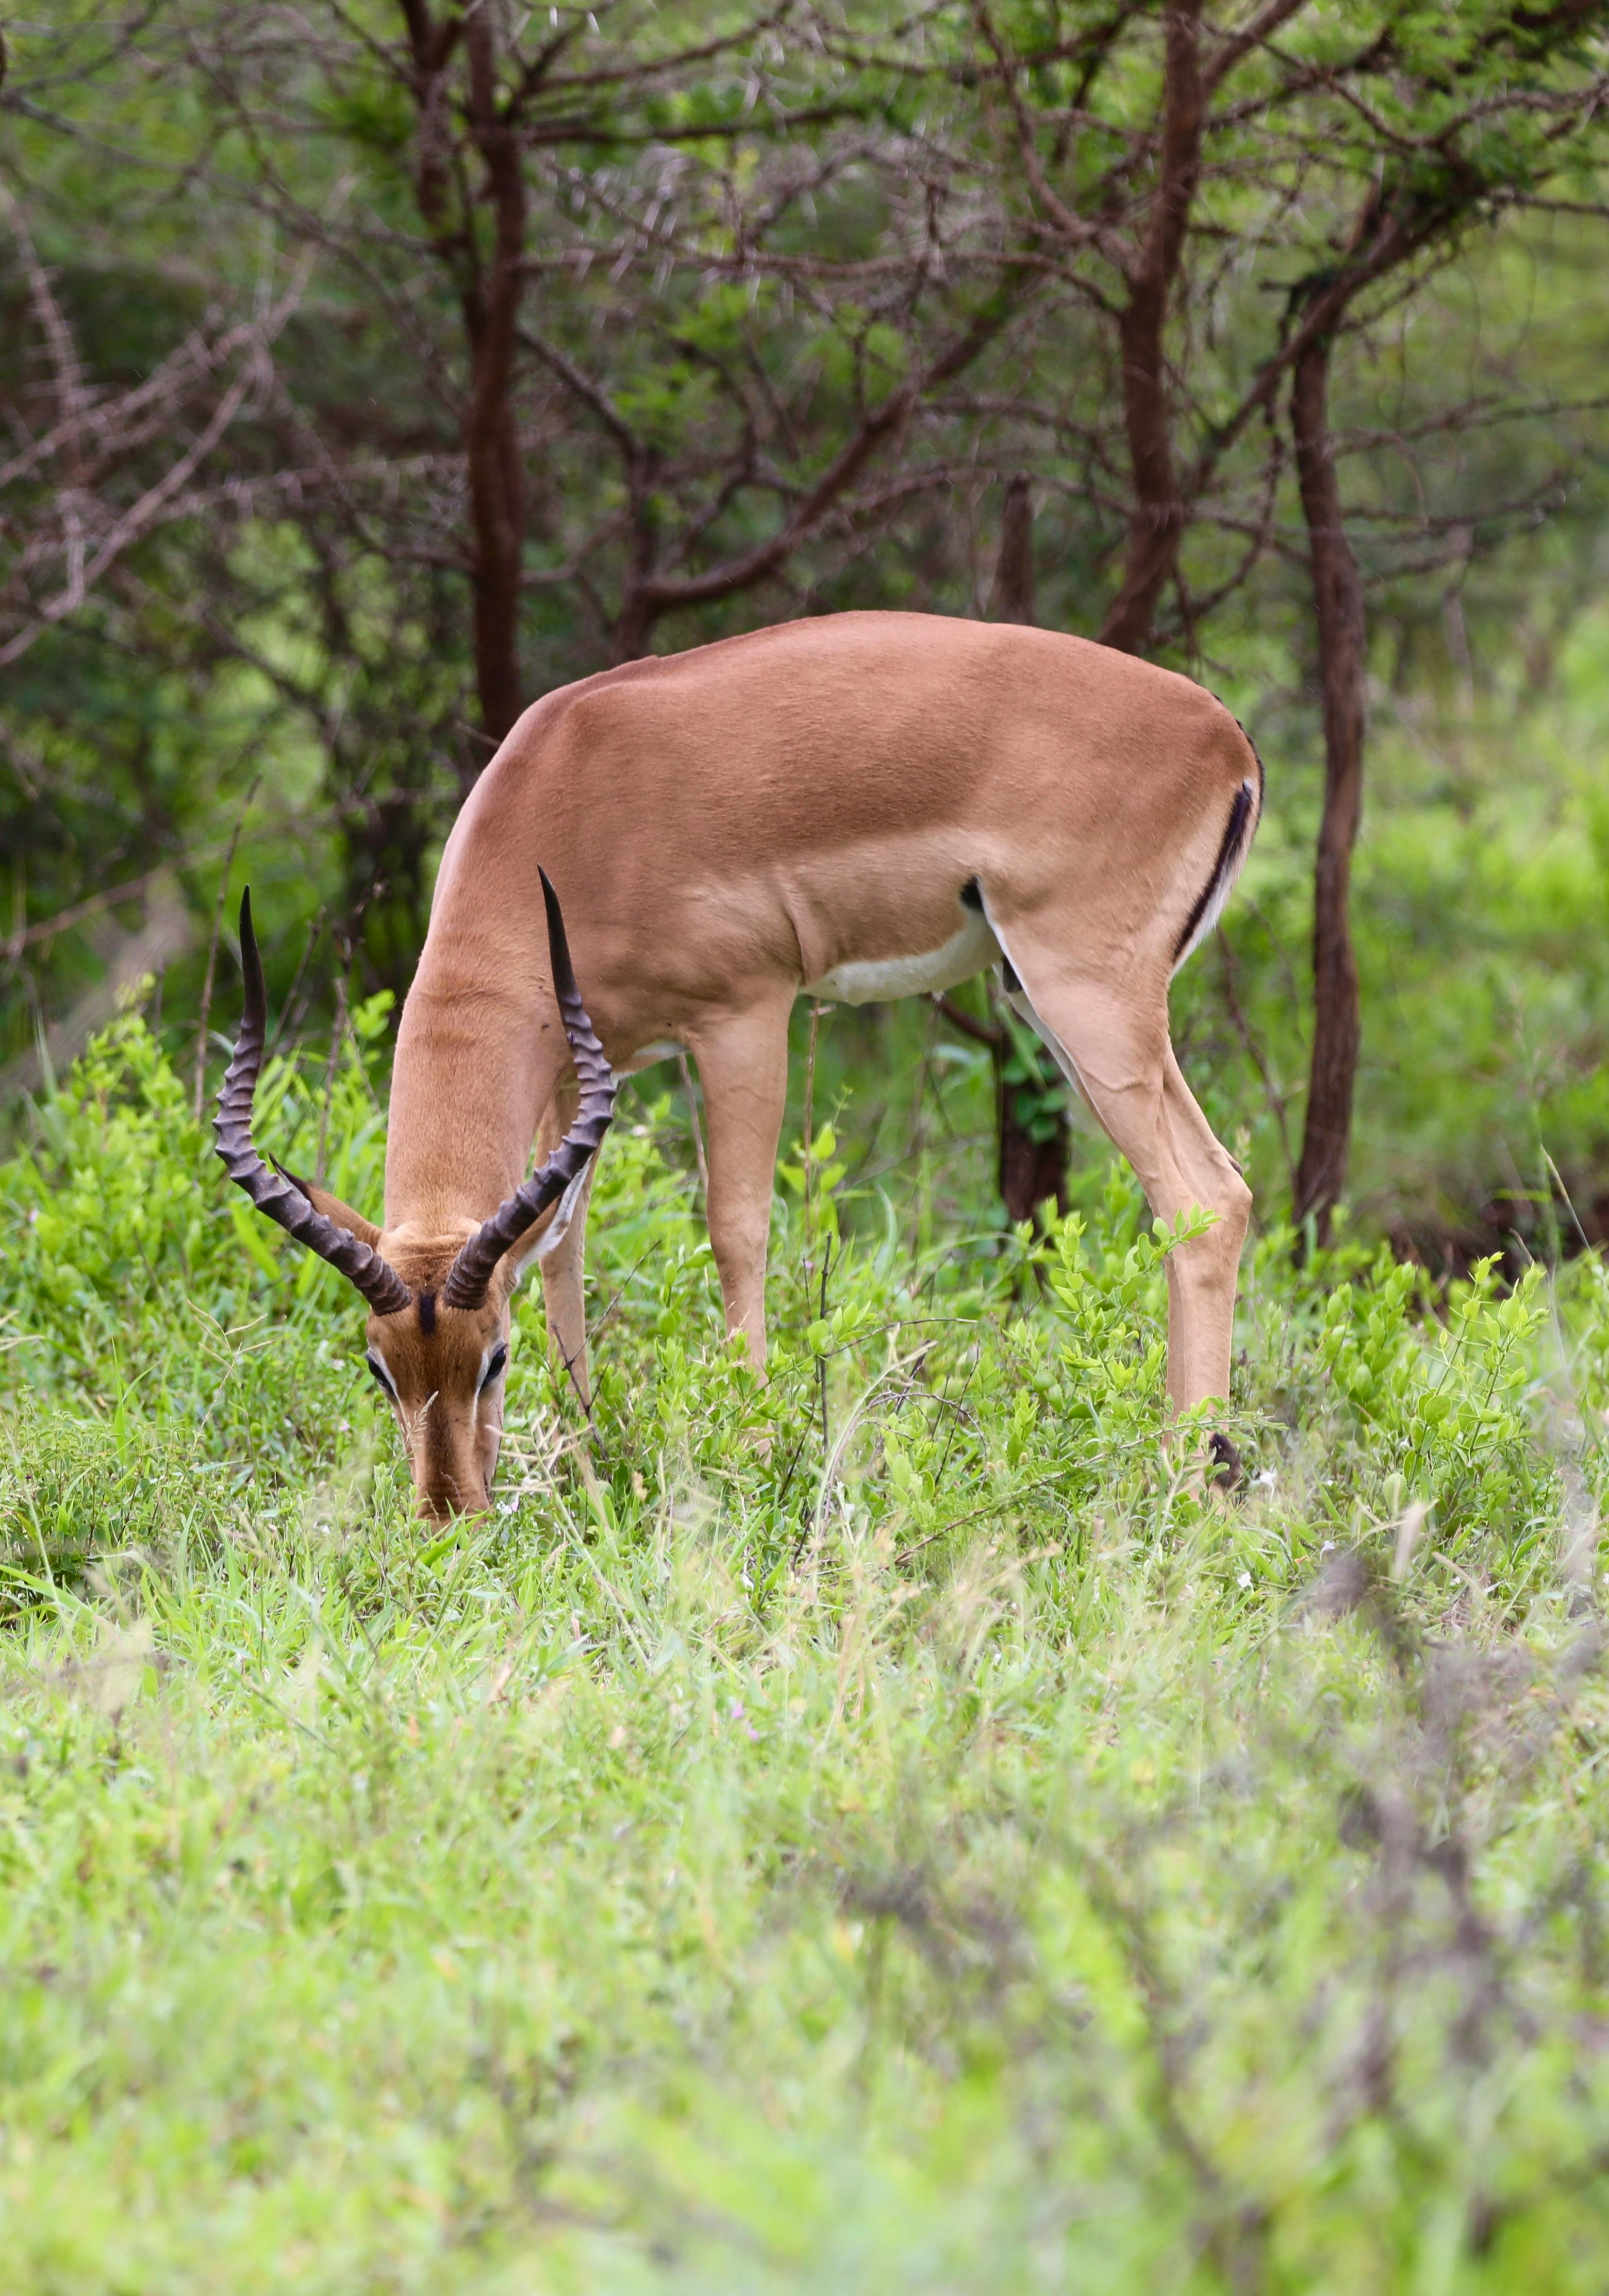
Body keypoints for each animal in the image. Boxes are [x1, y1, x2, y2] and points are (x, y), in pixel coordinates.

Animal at [218, 611, 1260, 1520]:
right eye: (379, 1365)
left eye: (493, 1357)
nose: (447, 1514)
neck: (565, 806)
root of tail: (1226, 737)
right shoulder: (576, 1068)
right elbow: (566, 1251)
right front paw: (587, 1467)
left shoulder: (744, 1015)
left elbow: (737, 1230)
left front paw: (754, 1453)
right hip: (1052, 1001)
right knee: (1202, 1200)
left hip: (1087, 999)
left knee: (1206, 1199)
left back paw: (1187, 1485)